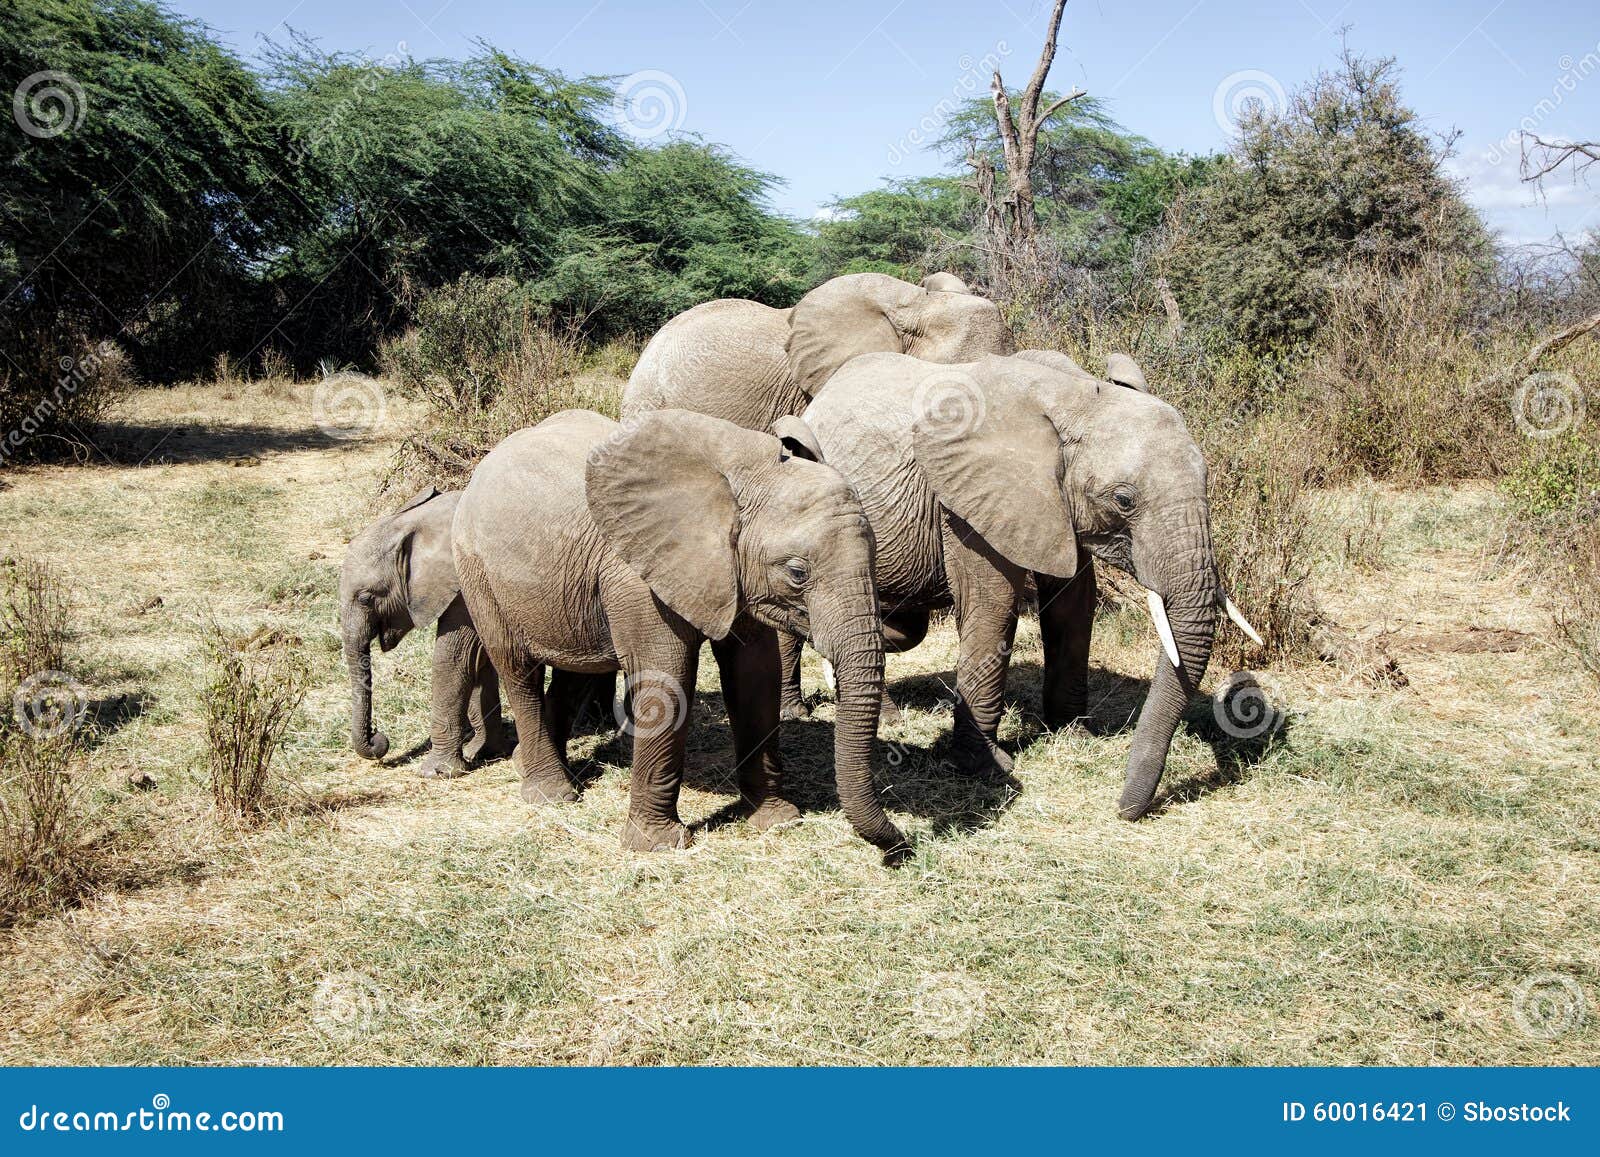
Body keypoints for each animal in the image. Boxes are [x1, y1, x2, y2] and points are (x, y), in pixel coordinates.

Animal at [340, 487, 511, 779]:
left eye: (365, 598)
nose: (378, 738)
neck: (414, 522)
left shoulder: (463, 583)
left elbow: (453, 658)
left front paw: (437, 773)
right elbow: (480, 660)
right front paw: (482, 752)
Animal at [451, 408, 907, 859]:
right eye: (797, 573)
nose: (901, 845)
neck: (743, 475)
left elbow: (755, 675)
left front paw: (776, 819)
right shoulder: (636, 573)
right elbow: (667, 675)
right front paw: (656, 846)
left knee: (575, 673)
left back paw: (530, 767)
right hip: (478, 574)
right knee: (518, 671)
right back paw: (551, 793)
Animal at [790, 351, 1261, 820]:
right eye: (1123, 500)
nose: (1122, 809)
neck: (1074, 397)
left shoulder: (1054, 504)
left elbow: (1073, 605)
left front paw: (1073, 734)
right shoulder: (969, 499)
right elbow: (993, 608)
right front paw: (985, 767)